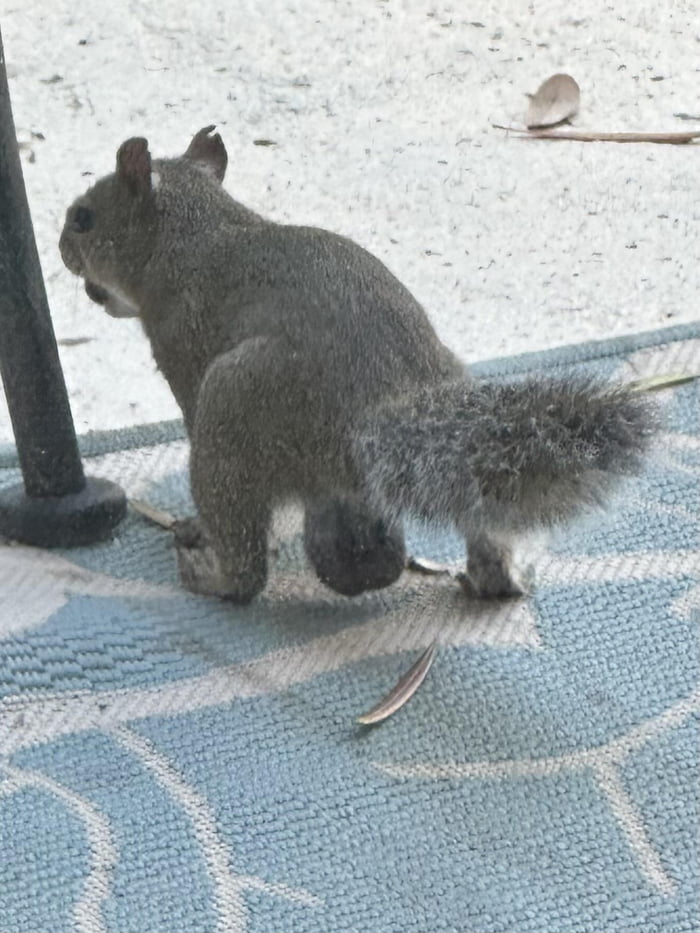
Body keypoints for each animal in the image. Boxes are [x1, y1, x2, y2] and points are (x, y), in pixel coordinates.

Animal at [59, 126, 656, 605]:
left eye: (84, 218)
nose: (63, 248)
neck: (193, 237)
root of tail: (373, 412)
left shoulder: (183, 351)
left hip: (233, 405)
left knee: (244, 559)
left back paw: (211, 572)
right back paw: (496, 580)